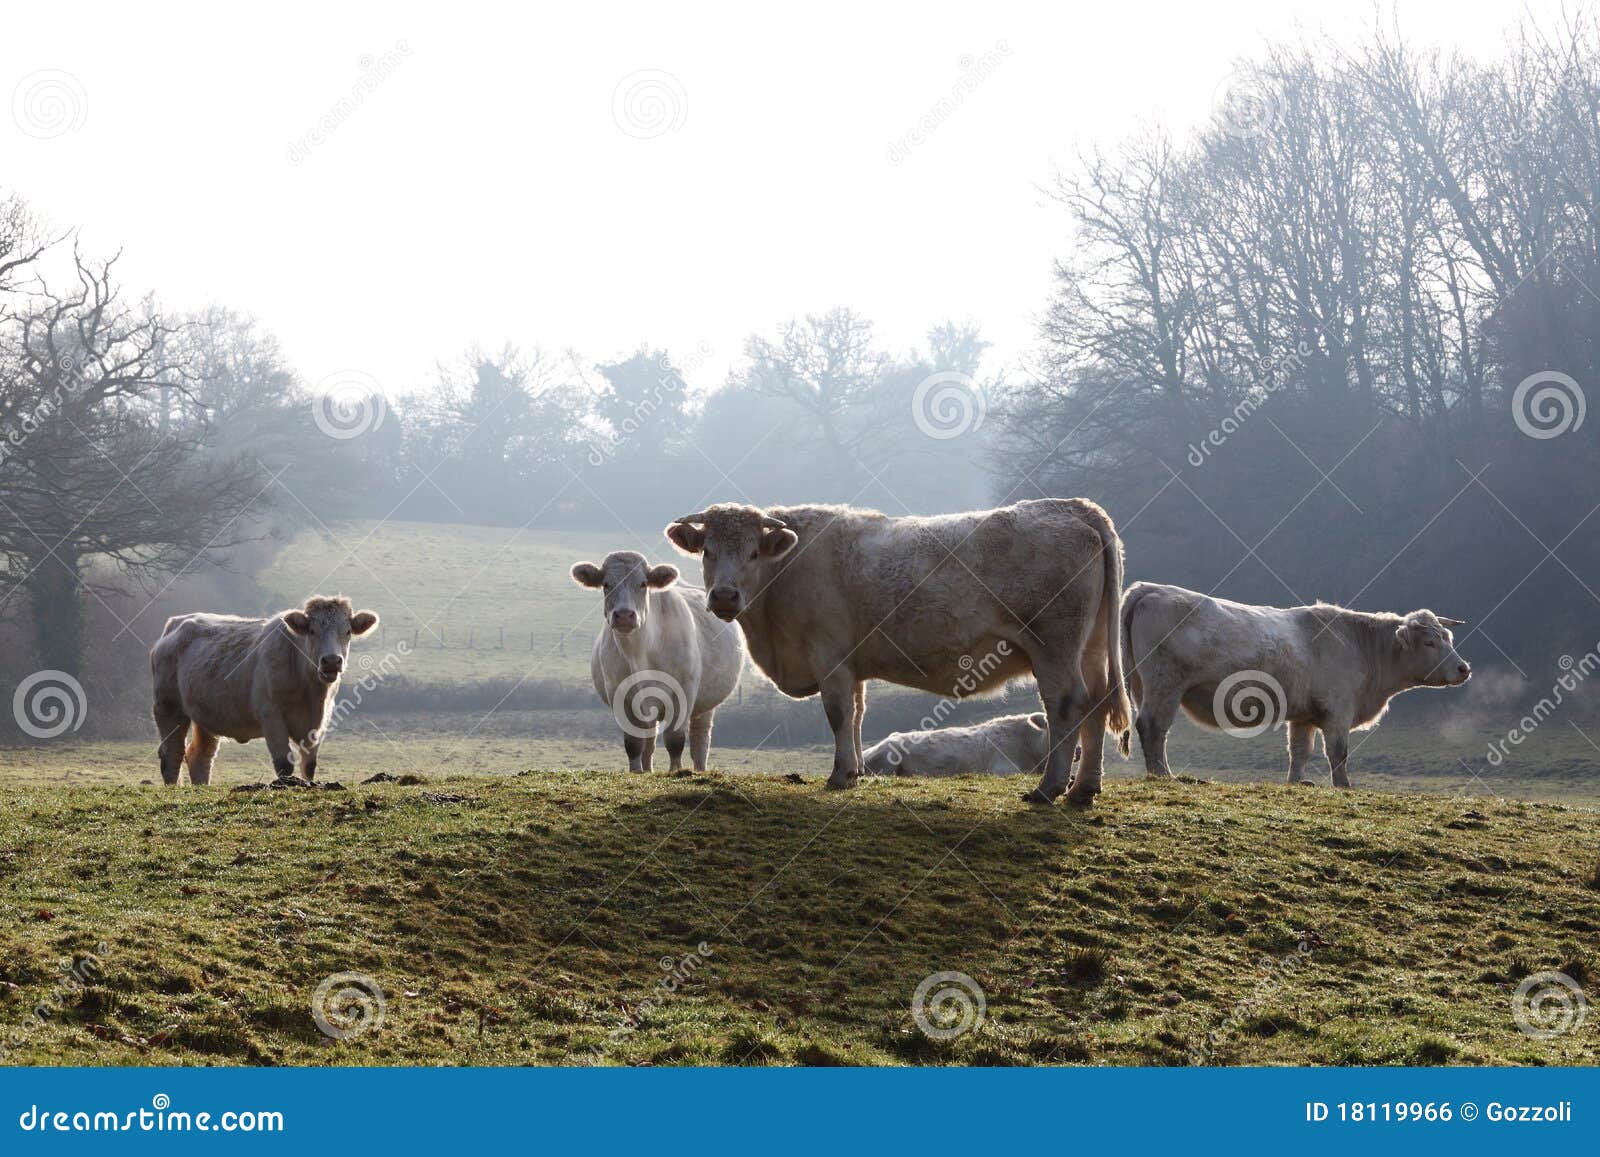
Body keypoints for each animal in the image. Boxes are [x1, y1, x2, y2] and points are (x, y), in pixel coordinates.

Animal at [149, 595, 380, 785]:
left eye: (347, 632)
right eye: (312, 631)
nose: (331, 661)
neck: (311, 693)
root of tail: (176, 623)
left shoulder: (319, 722)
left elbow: (310, 764)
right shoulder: (271, 715)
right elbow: (284, 763)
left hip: (206, 714)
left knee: (200, 756)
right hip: (168, 706)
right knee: (172, 752)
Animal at [571, 550, 744, 773]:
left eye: (643, 584)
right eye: (606, 584)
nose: (624, 615)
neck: (640, 653)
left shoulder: (684, 690)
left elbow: (675, 739)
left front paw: (676, 771)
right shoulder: (619, 693)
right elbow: (633, 743)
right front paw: (636, 772)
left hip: (706, 703)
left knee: (700, 739)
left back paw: (699, 768)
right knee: (649, 742)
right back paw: (647, 770)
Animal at [1120, 581, 1472, 787]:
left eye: (1448, 637)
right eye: (1430, 642)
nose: (1463, 668)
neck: (1358, 645)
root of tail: (1150, 588)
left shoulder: (1304, 716)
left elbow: (1300, 752)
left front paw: (1296, 783)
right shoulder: (1338, 712)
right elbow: (1338, 753)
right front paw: (1343, 786)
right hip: (1164, 687)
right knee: (1153, 727)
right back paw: (1162, 774)